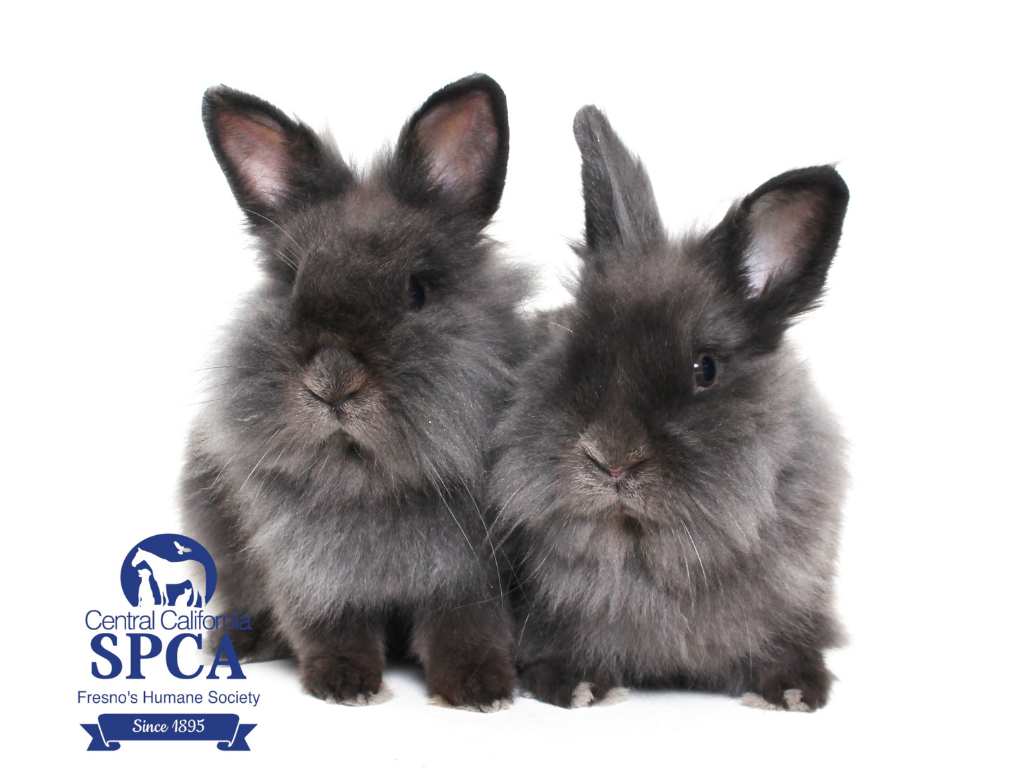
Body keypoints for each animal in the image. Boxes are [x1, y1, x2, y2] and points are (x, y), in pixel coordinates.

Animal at [180, 74, 532, 710]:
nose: (332, 382)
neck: (365, 476)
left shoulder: (470, 578)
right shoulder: (309, 575)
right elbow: (330, 628)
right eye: (290, 281)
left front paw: (480, 688)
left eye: (417, 291)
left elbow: (466, 631)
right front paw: (345, 684)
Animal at [490, 106, 849, 711]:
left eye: (705, 368)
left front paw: (796, 691)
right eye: (574, 344)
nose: (611, 460)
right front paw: (578, 684)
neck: (642, 547)